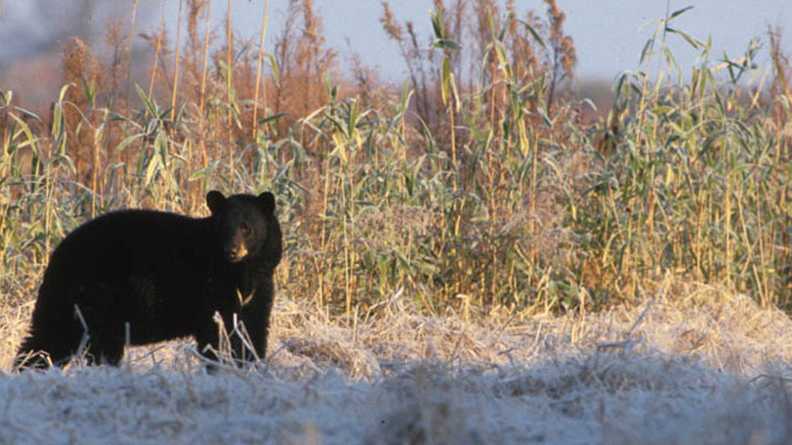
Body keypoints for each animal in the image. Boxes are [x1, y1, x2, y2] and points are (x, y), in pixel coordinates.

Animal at [14, 190, 282, 370]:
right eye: (223, 227)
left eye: (246, 227)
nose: (232, 250)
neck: (240, 272)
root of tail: (58, 253)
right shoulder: (211, 291)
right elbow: (215, 335)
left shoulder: (259, 290)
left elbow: (252, 331)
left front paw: (251, 366)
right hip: (96, 300)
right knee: (61, 337)